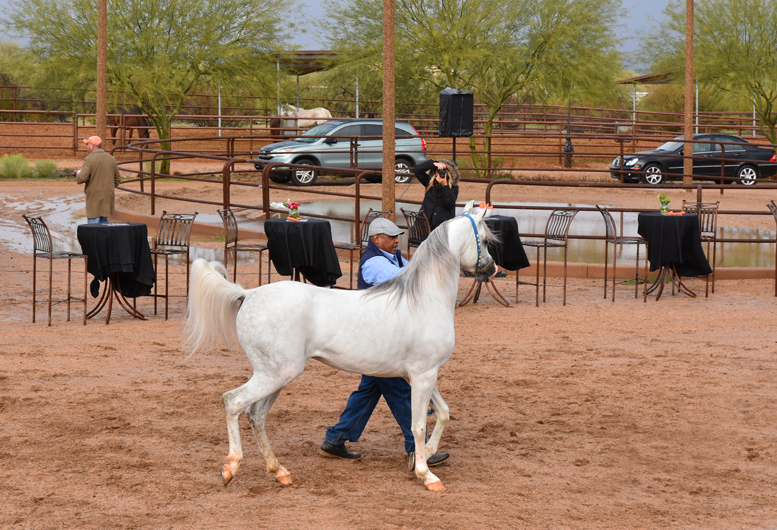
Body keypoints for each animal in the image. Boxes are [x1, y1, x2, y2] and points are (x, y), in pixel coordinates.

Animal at [184, 201, 496, 492]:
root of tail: (247, 294)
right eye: (484, 240)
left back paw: (279, 471)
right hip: (274, 374)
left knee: (256, 416)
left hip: (275, 376)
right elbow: (417, 425)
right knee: (233, 402)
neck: (424, 299)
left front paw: (429, 453)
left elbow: (442, 413)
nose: (493, 268)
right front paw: (426, 474)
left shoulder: (421, 375)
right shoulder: (422, 375)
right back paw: (231, 466)